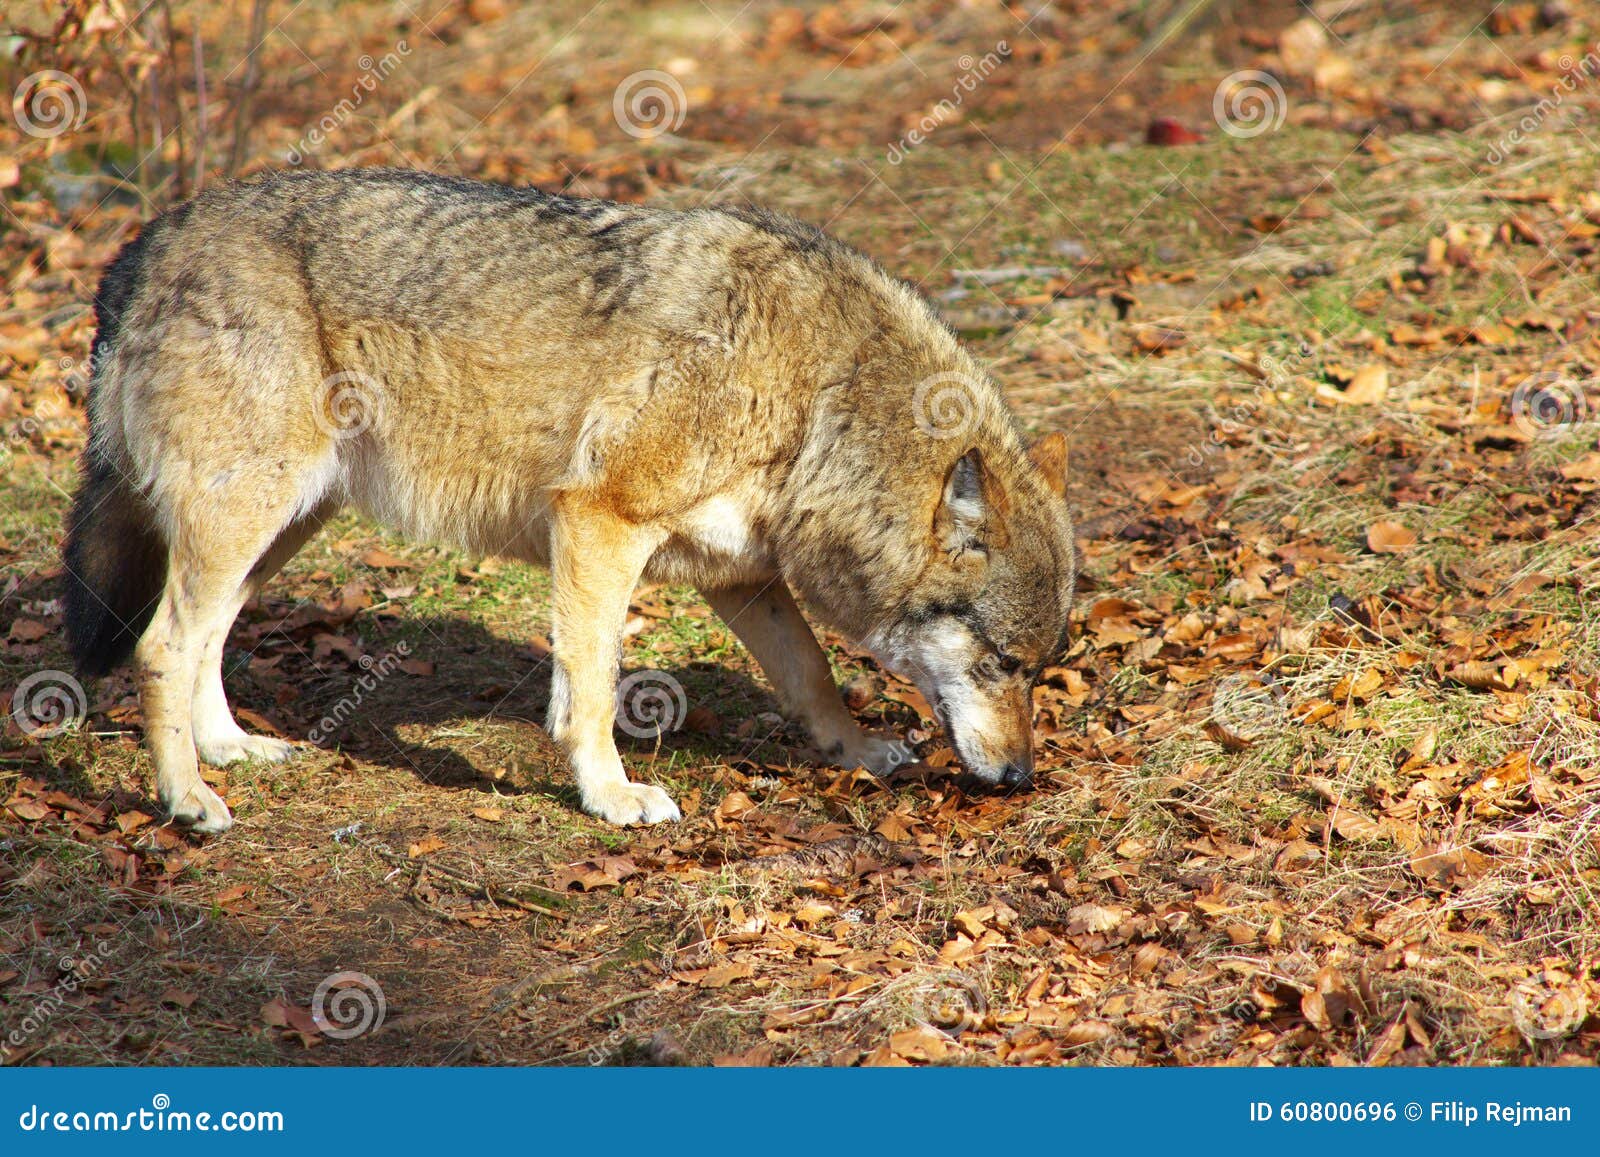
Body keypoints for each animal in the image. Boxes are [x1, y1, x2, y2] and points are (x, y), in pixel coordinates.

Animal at [62, 168, 1075, 832]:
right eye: (1003, 664)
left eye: (1036, 667)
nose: (1021, 778)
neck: (821, 395)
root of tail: (143, 243)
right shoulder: (598, 521)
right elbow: (589, 687)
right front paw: (612, 796)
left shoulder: (742, 577)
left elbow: (812, 676)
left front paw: (859, 751)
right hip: (249, 515)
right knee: (162, 643)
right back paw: (187, 797)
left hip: (277, 527)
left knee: (209, 635)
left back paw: (230, 749)